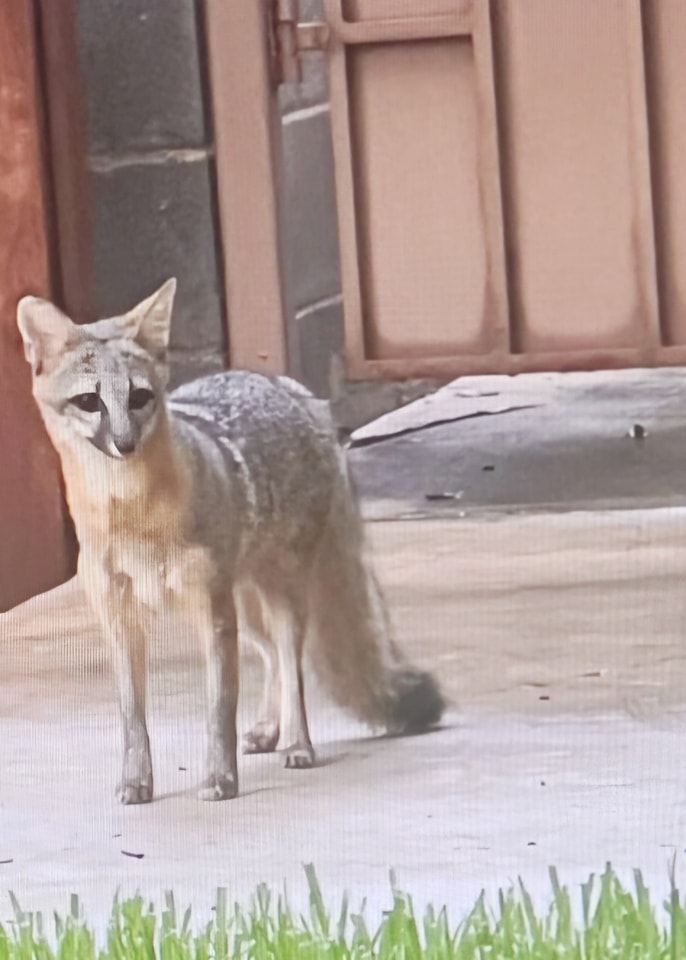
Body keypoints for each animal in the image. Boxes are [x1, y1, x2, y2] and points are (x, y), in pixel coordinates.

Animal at [16, 279, 445, 804]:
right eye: (88, 402)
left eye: (139, 397)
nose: (125, 444)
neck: (133, 519)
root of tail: (294, 390)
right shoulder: (120, 617)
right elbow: (132, 717)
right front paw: (136, 781)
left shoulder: (212, 613)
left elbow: (219, 709)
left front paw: (220, 779)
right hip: (247, 606)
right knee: (275, 659)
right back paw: (267, 730)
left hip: (277, 599)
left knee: (292, 663)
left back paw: (296, 744)